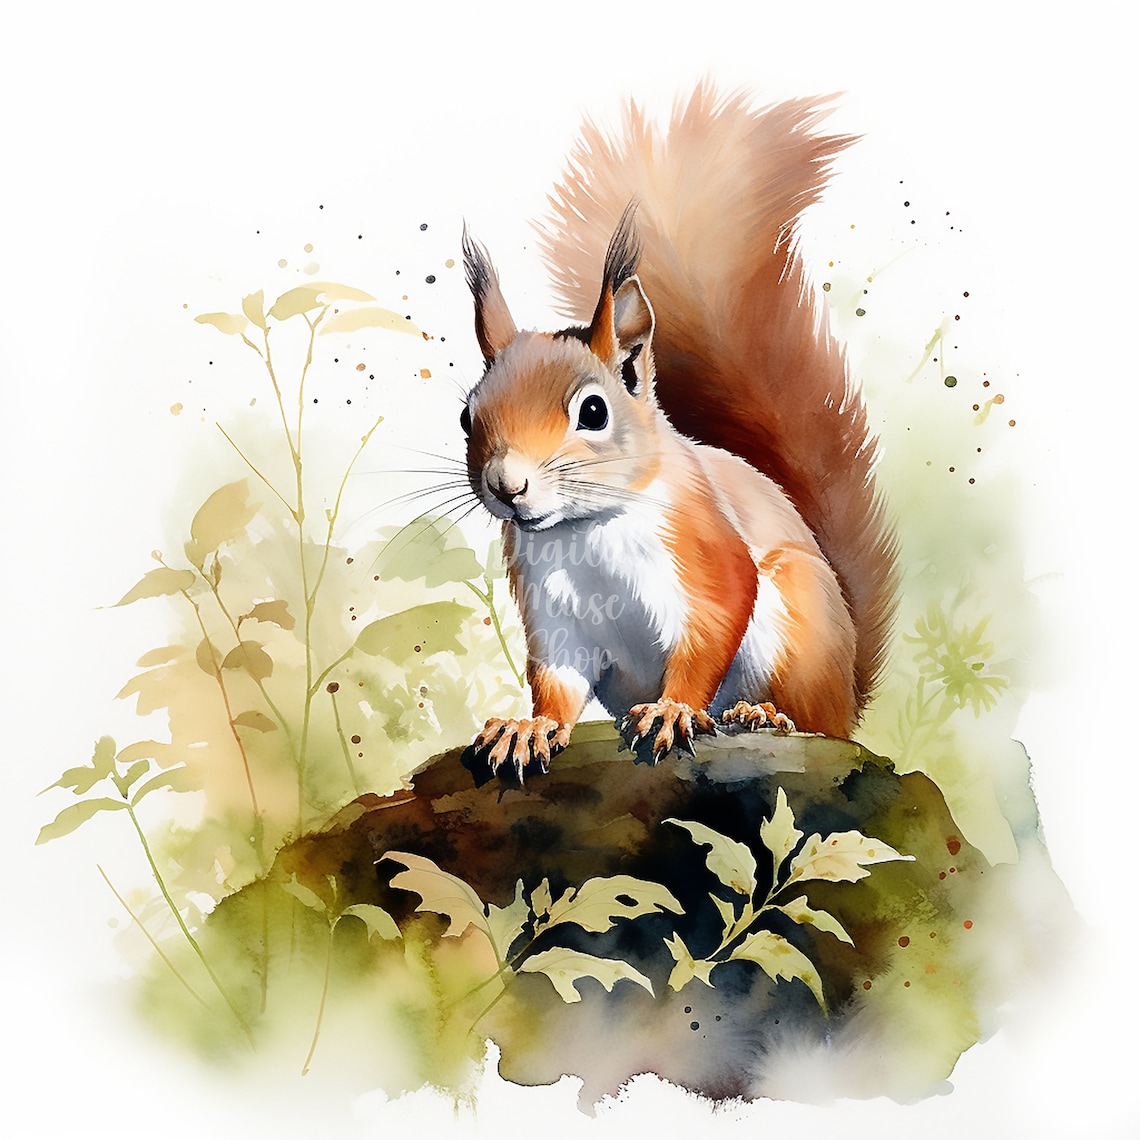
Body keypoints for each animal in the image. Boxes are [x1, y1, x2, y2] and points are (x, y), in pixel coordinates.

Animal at [458, 85, 897, 780]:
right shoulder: (555, 616)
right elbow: (558, 683)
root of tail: (851, 689)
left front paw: (672, 710)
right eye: (467, 416)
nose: (507, 485)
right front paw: (530, 727)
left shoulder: (704, 551)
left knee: (814, 722)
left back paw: (761, 715)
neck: (587, 528)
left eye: (593, 412)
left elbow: (713, 628)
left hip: (798, 622)